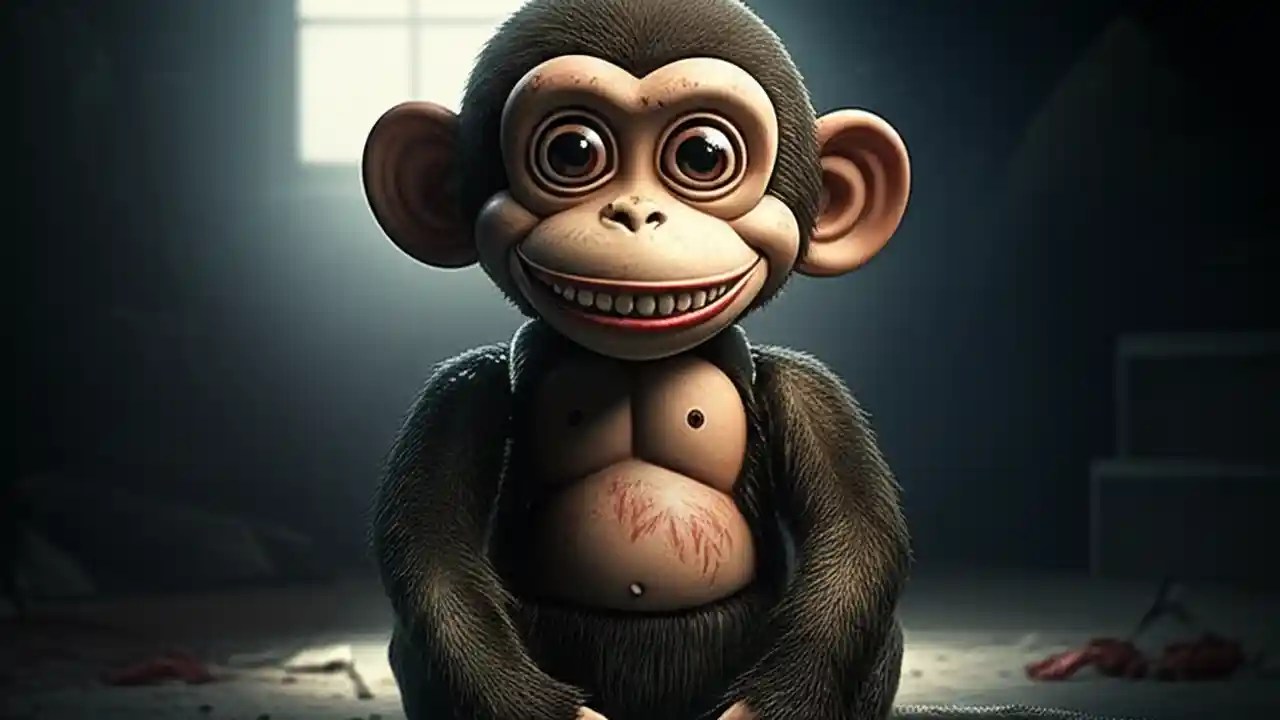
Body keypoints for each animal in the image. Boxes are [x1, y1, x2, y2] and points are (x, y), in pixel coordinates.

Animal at [362, 1, 913, 719]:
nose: (635, 213)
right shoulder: (461, 391)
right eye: (572, 151)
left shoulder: (811, 390)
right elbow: (431, 550)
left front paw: (764, 708)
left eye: (702, 156)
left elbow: (857, 535)